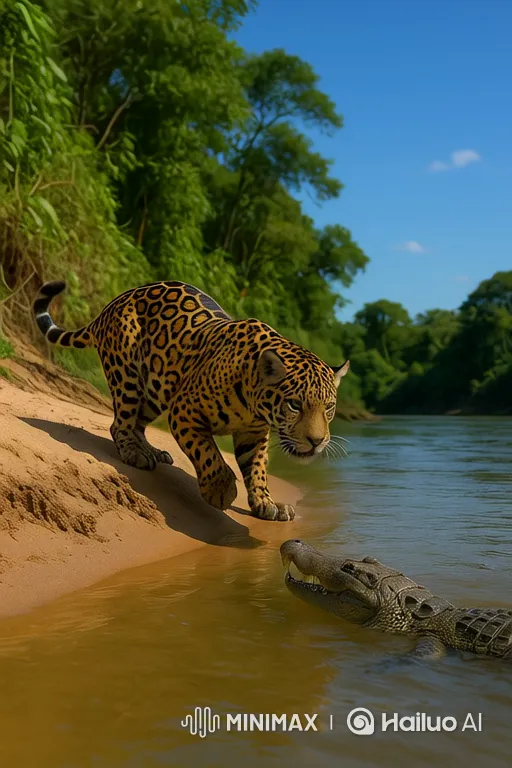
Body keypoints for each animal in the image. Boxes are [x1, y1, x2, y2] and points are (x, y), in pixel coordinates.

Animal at [33, 280, 350, 522]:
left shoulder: (254, 433)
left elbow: (257, 468)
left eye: (329, 408)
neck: (253, 403)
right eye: (295, 405)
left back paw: (151, 450)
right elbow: (209, 455)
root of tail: (110, 305)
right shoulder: (184, 412)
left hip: (155, 388)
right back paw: (134, 453)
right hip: (127, 376)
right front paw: (220, 490)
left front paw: (265, 502)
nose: (317, 442)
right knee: (119, 423)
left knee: (137, 423)